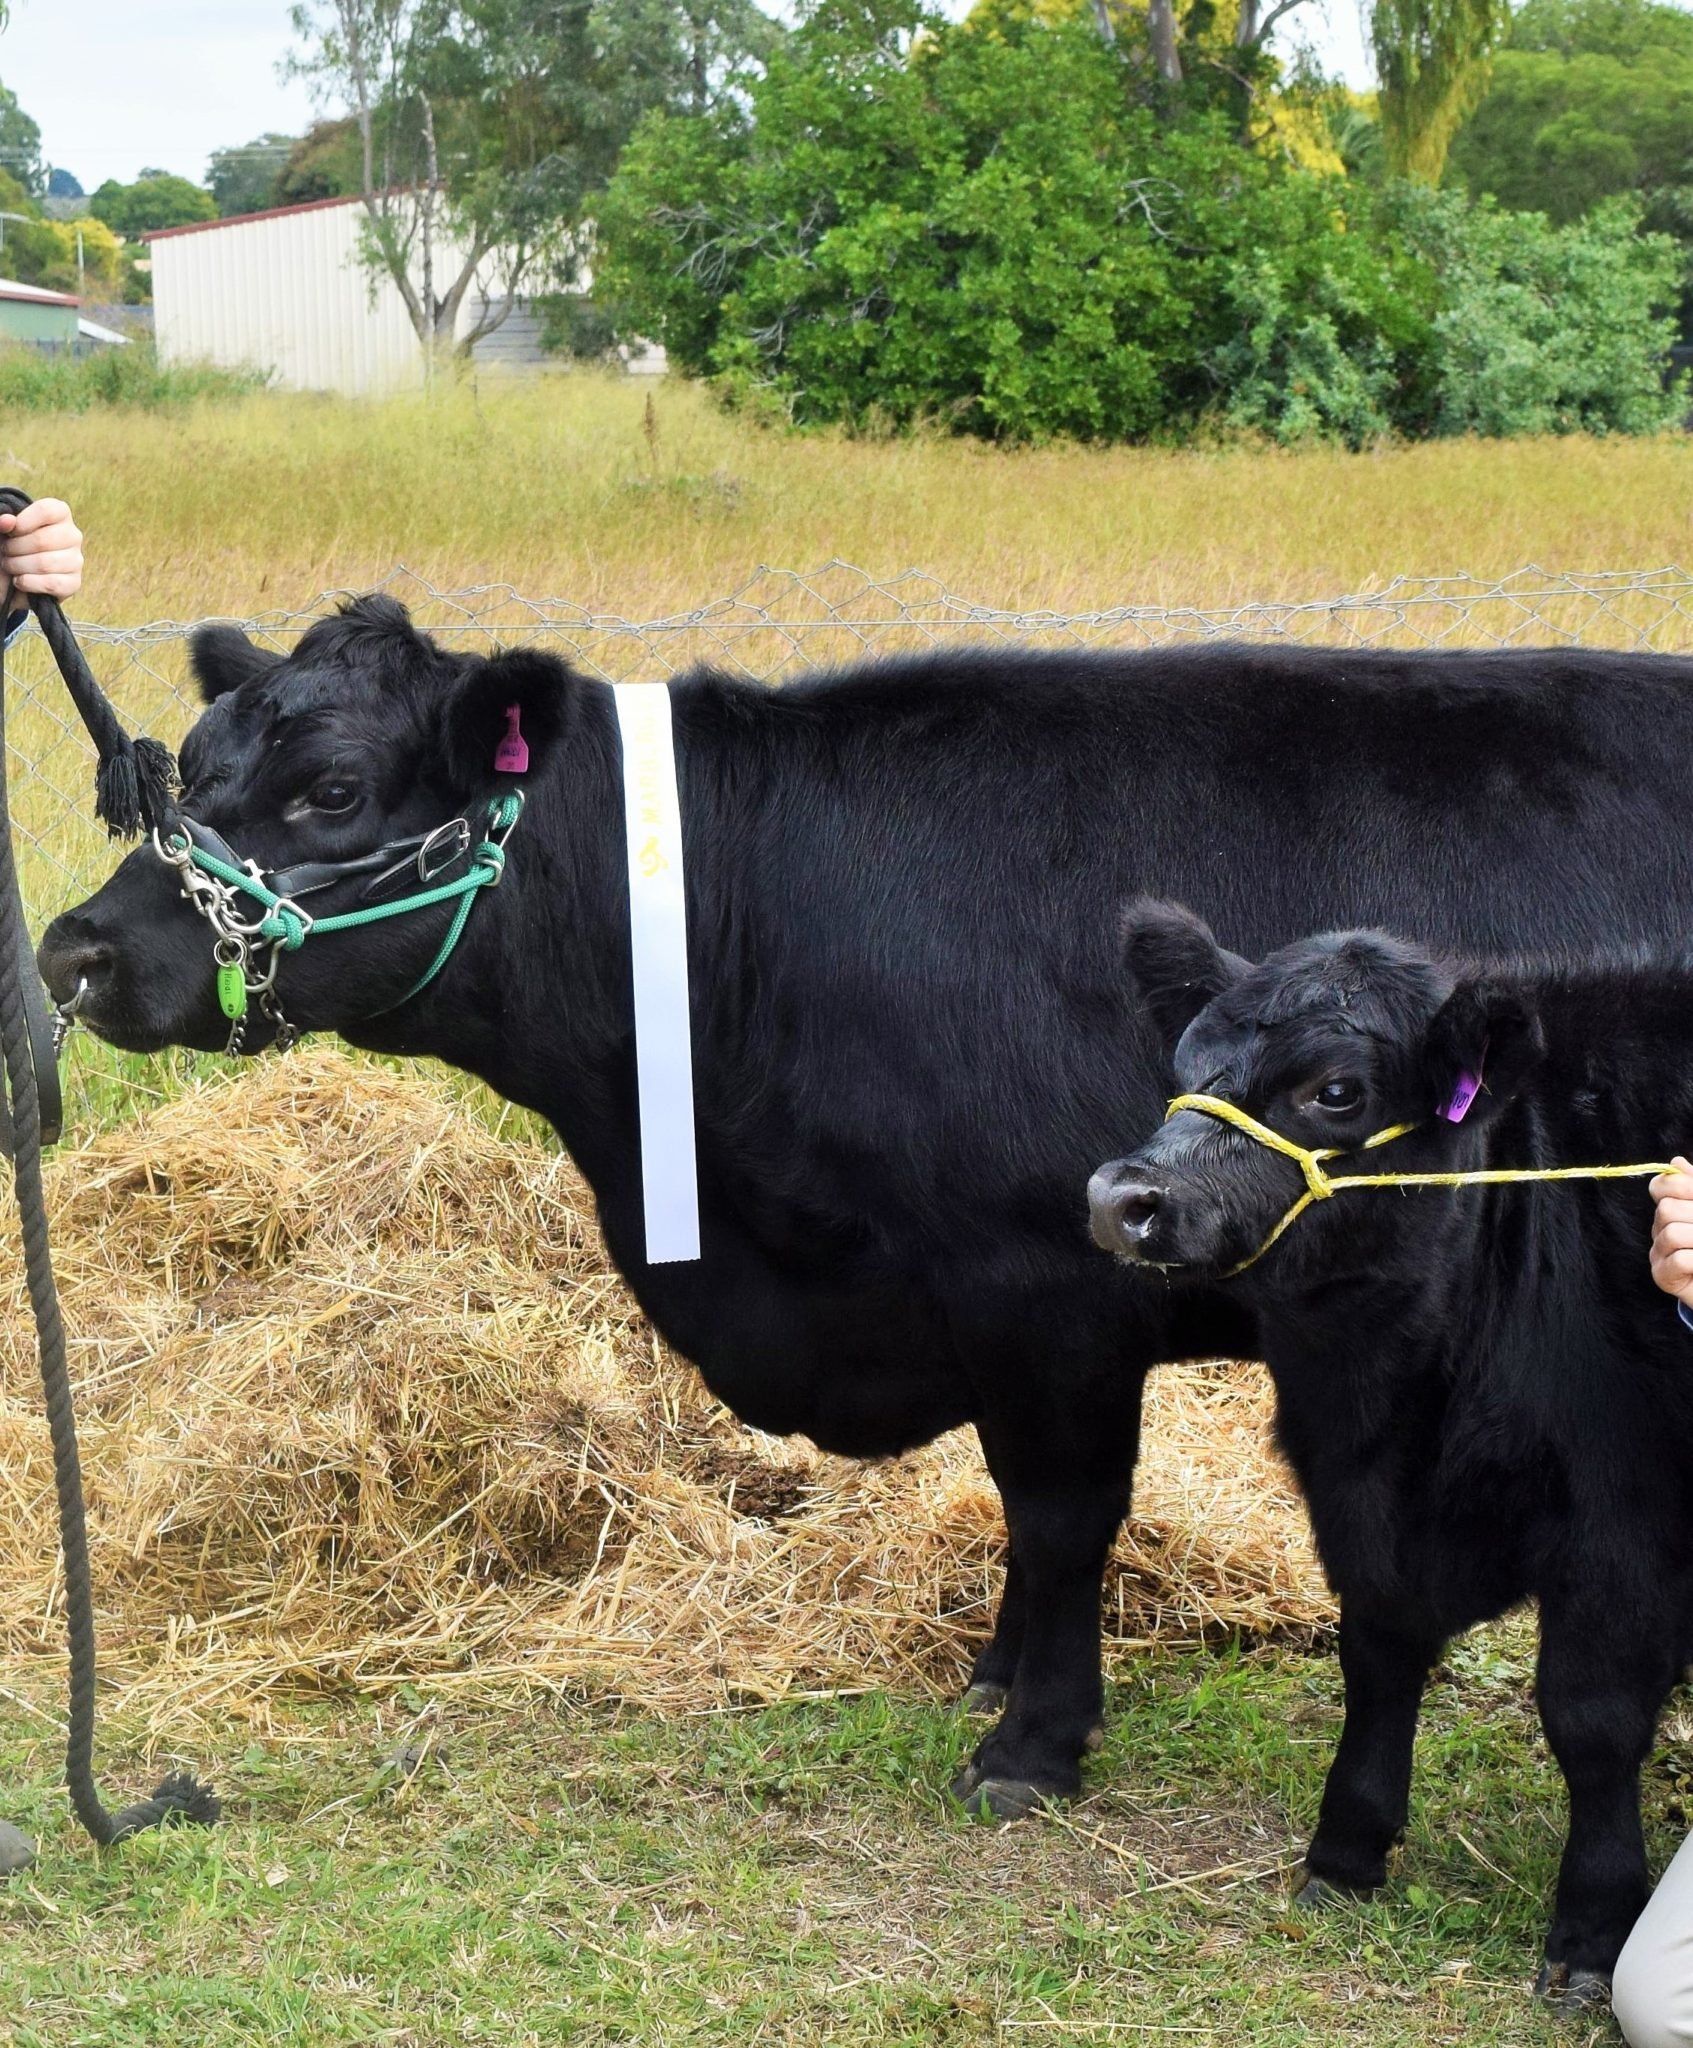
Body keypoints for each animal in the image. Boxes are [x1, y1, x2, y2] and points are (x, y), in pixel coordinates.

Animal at [36, 597, 1693, 1822]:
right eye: (187, 765)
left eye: (329, 789)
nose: (78, 951)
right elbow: (1025, 1522)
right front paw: (997, 1673)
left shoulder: (1049, 1294)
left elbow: (1063, 1513)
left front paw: (1031, 1746)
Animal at [1087, 901, 1693, 1999]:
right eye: (1186, 1058)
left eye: (1336, 1090)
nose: (1123, 1198)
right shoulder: (1360, 1511)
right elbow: (1375, 1659)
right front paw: (1346, 1846)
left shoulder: (1621, 1521)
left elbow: (1590, 1716)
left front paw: (1590, 1928)